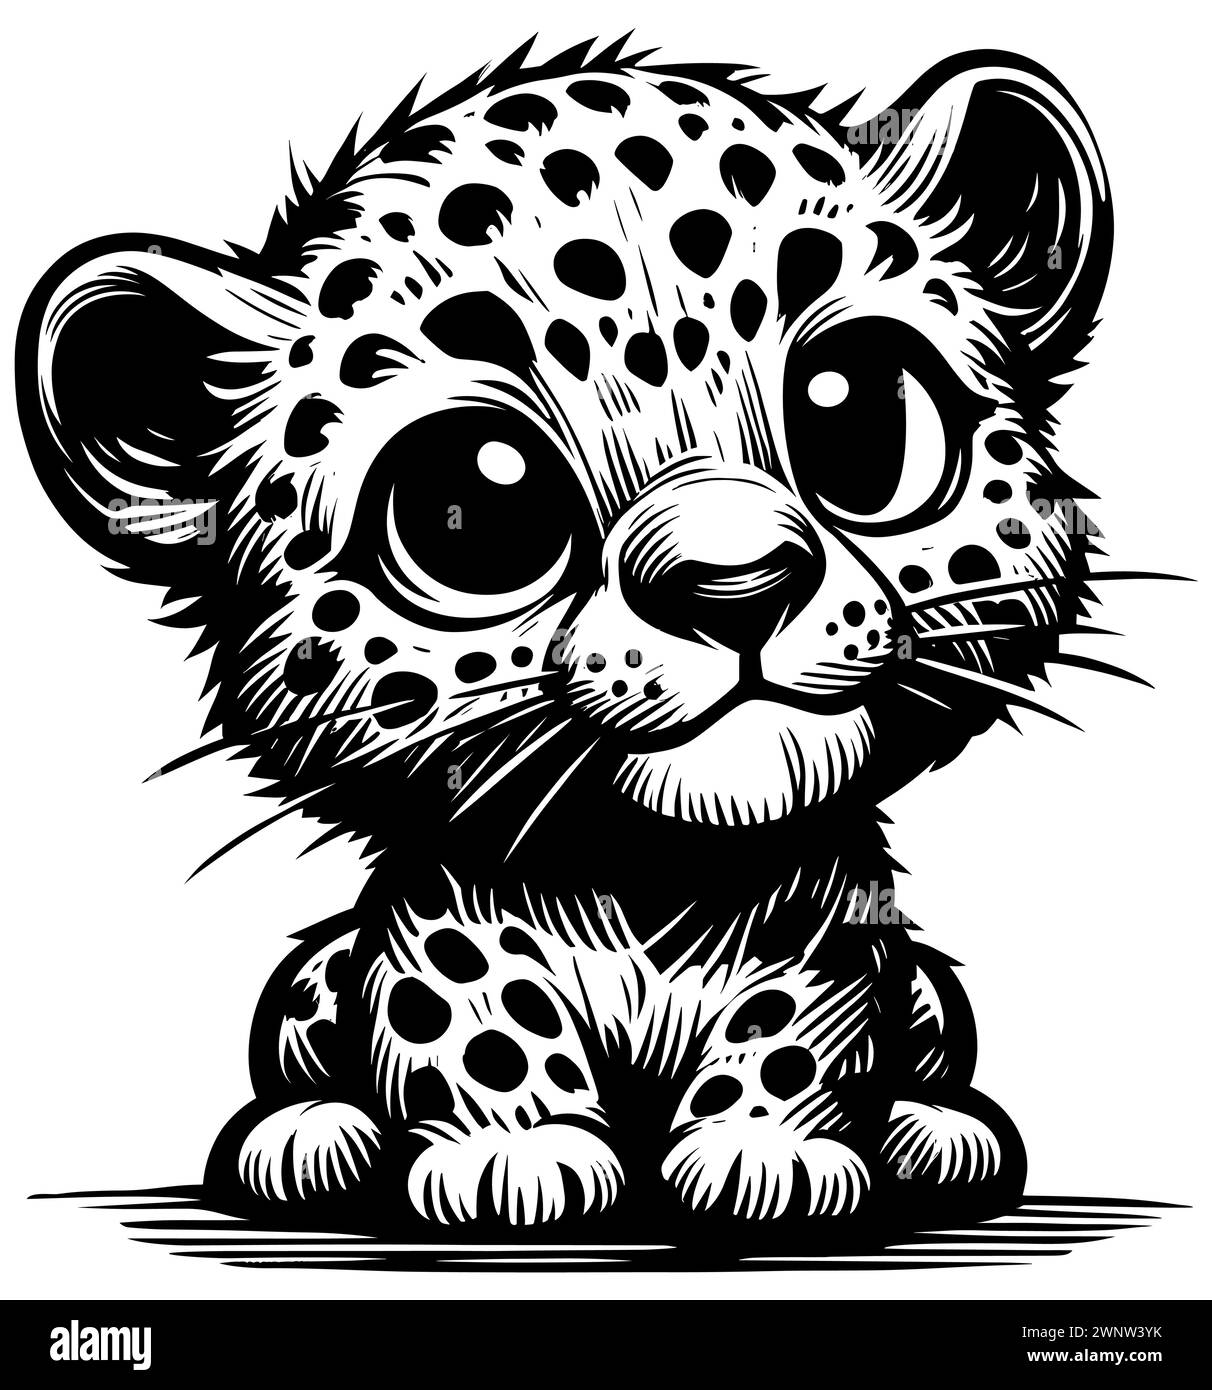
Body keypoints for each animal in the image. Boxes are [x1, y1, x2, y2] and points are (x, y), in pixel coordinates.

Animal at [17, 38, 1117, 1233]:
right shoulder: (439, 924)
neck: (653, 890)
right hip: (316, 979)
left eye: (856, 412)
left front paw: (762, 1154)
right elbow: (471, 1015)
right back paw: (305, 1138)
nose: (737, 588)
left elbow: (793, 1029)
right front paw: (518, 1160)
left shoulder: (831, 934)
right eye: (471, 504)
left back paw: (938, 1135)